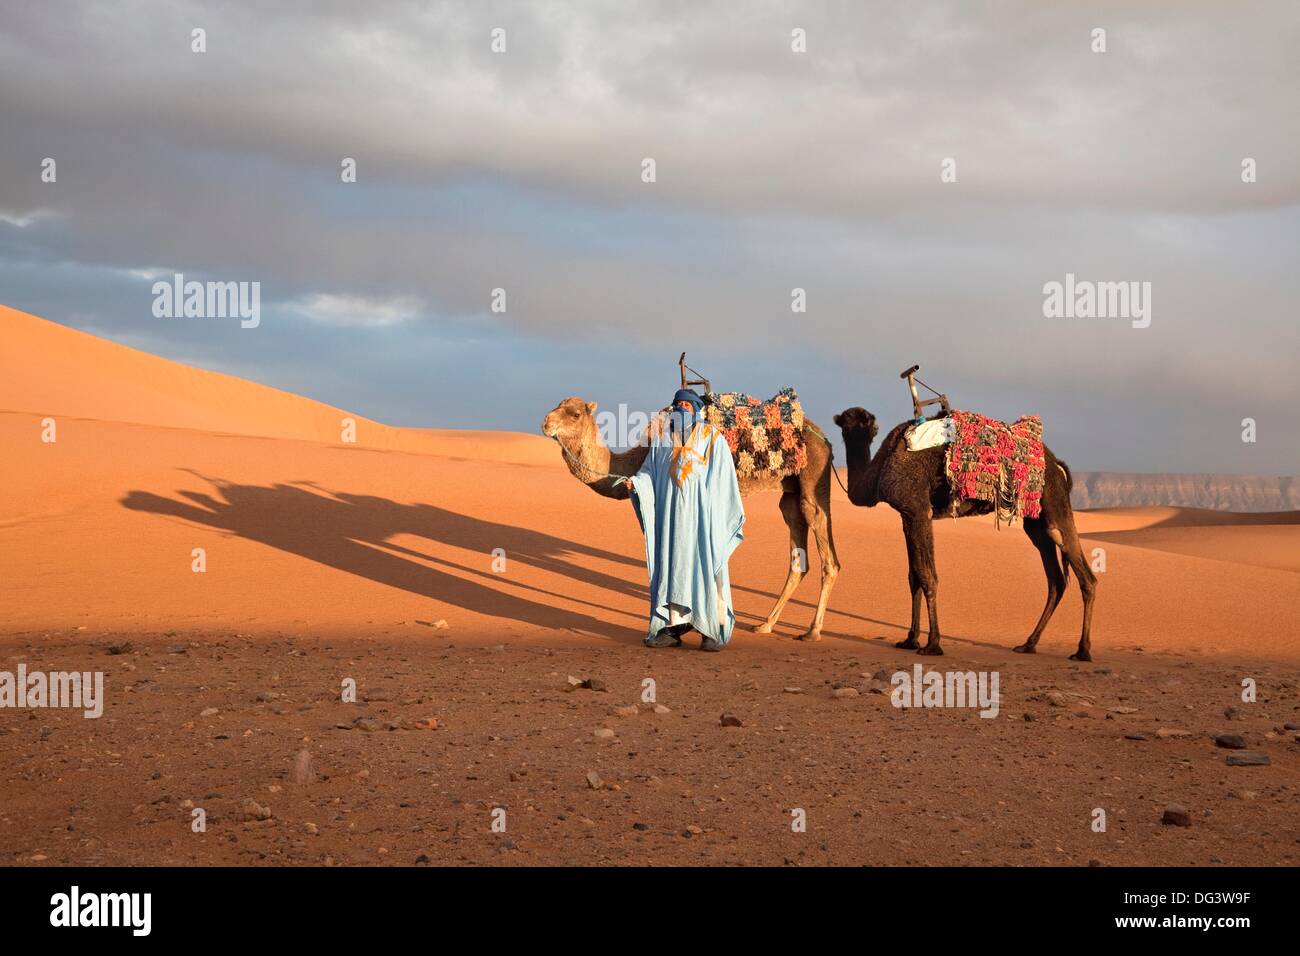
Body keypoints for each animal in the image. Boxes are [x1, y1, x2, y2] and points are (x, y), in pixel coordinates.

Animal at [542, 397, 840, 640]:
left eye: (575, 414)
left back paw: (813, 631)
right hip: (790, 494)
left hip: (812, 479)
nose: (545, 423)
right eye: (558, 405)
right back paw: (765, 625)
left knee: (826, 546)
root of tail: (825, 440)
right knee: (798, 555)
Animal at [833, 407, 1095, 661]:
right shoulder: (906, 516)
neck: (881, 467)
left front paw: (932, 644)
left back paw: (1082, 651)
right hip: (1035, 520)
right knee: (1056, 578)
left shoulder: (918, 510)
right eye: (846, 422)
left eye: (863, 421)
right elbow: (913, 577)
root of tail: (1058, 465)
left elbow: (928, 576)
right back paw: (1028, 644)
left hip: (1054, 504)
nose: (868, 427)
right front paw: (909, 640)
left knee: (1085, 575)